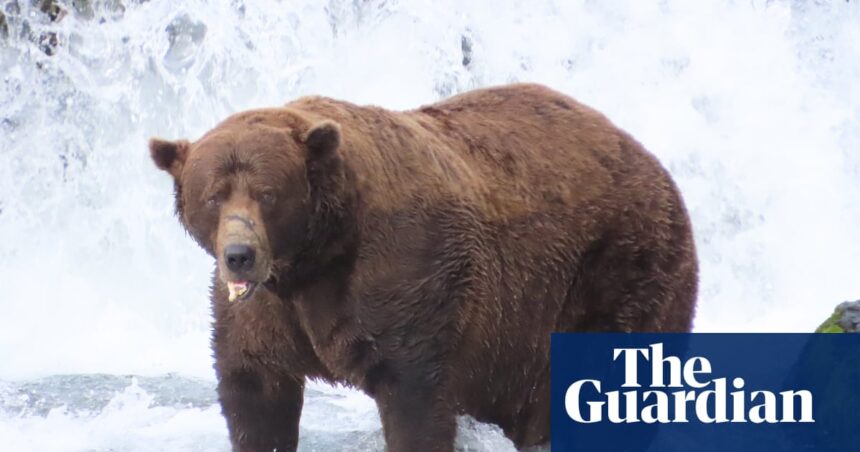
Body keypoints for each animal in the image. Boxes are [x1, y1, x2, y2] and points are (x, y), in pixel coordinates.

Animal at [149, 83, 698, 452]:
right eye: (213, 195)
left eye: (267, 193)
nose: (239, 254)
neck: (315, 258)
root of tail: (651, 160)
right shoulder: (264, 312)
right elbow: (254, 389)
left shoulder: (406, 275)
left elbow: (414, 395)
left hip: (612, 269)